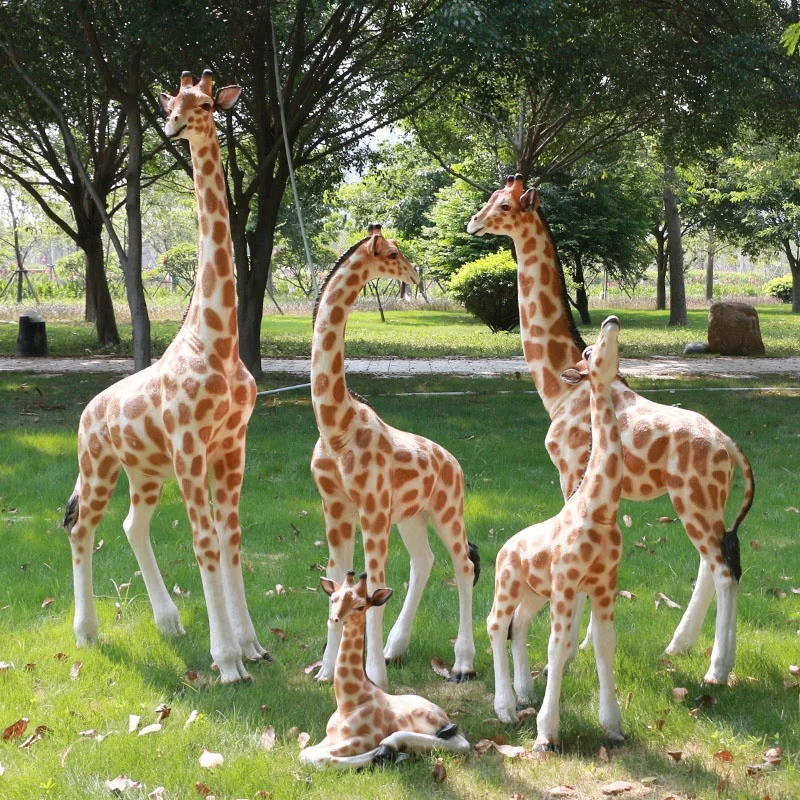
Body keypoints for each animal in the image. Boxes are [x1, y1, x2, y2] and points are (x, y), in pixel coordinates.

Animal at [62, 70, 268, 683]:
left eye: (204, 104)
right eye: (170, 105)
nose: (176, 127)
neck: (218, 342)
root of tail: (84, 414)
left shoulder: (231, 444)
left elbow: (229, 539)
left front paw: (251, 646)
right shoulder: (190, 446)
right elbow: (204, 542)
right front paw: (228, 662)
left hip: (145, 471)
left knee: (133, 525)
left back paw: (170, 623)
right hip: (99, 465)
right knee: (82, 529)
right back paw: (87, 632)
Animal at [300, 571, 471, 769]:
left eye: (360, 606)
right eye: (333, 598)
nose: (334, 620)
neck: (348, 702)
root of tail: (443, 713)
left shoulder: (365, 737)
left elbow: (317, 757)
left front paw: (380, 754)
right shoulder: (330, 737)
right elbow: (306, 752)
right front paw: (387, 755)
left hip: (426, 717)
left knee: (461, 742)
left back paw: (391, 746)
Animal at [310, 226, 479, 690]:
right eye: (392, 252)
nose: (414, 274)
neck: (336, 426)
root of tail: (455, 463)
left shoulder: (371, 509)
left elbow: (373, 591)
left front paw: (374, 679)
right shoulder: (335, 508)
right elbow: (335, 581)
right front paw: (327, 671)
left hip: (447, 510)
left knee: (463, 565)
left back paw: (462, 663)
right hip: (411, 516)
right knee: (425, 561)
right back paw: (395, 648)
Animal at [468, 175, 754, 686]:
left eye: (503, 206)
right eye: (490, 201)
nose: (472, 222)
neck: (557, 386)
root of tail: (729, 446)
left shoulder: (568, 470)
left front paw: (565, 653)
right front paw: (582, 645)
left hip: (693, 497)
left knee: (723, 569)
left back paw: (717, 671)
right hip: (704, 500)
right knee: (715, 561)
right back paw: (678, 645)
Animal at [487, 316, 625, 750]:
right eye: (588, 353)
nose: (611, 320)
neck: (600, 510)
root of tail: (504, 546)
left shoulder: (603, 582)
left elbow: (604, 644)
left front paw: (614, 728)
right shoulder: (567, 581)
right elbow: (558, 646)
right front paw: (546, 734)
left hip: (535, 593)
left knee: (518, 624)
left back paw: (523, 694)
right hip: (508, 583)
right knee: (495, 623)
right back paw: (505, 708)